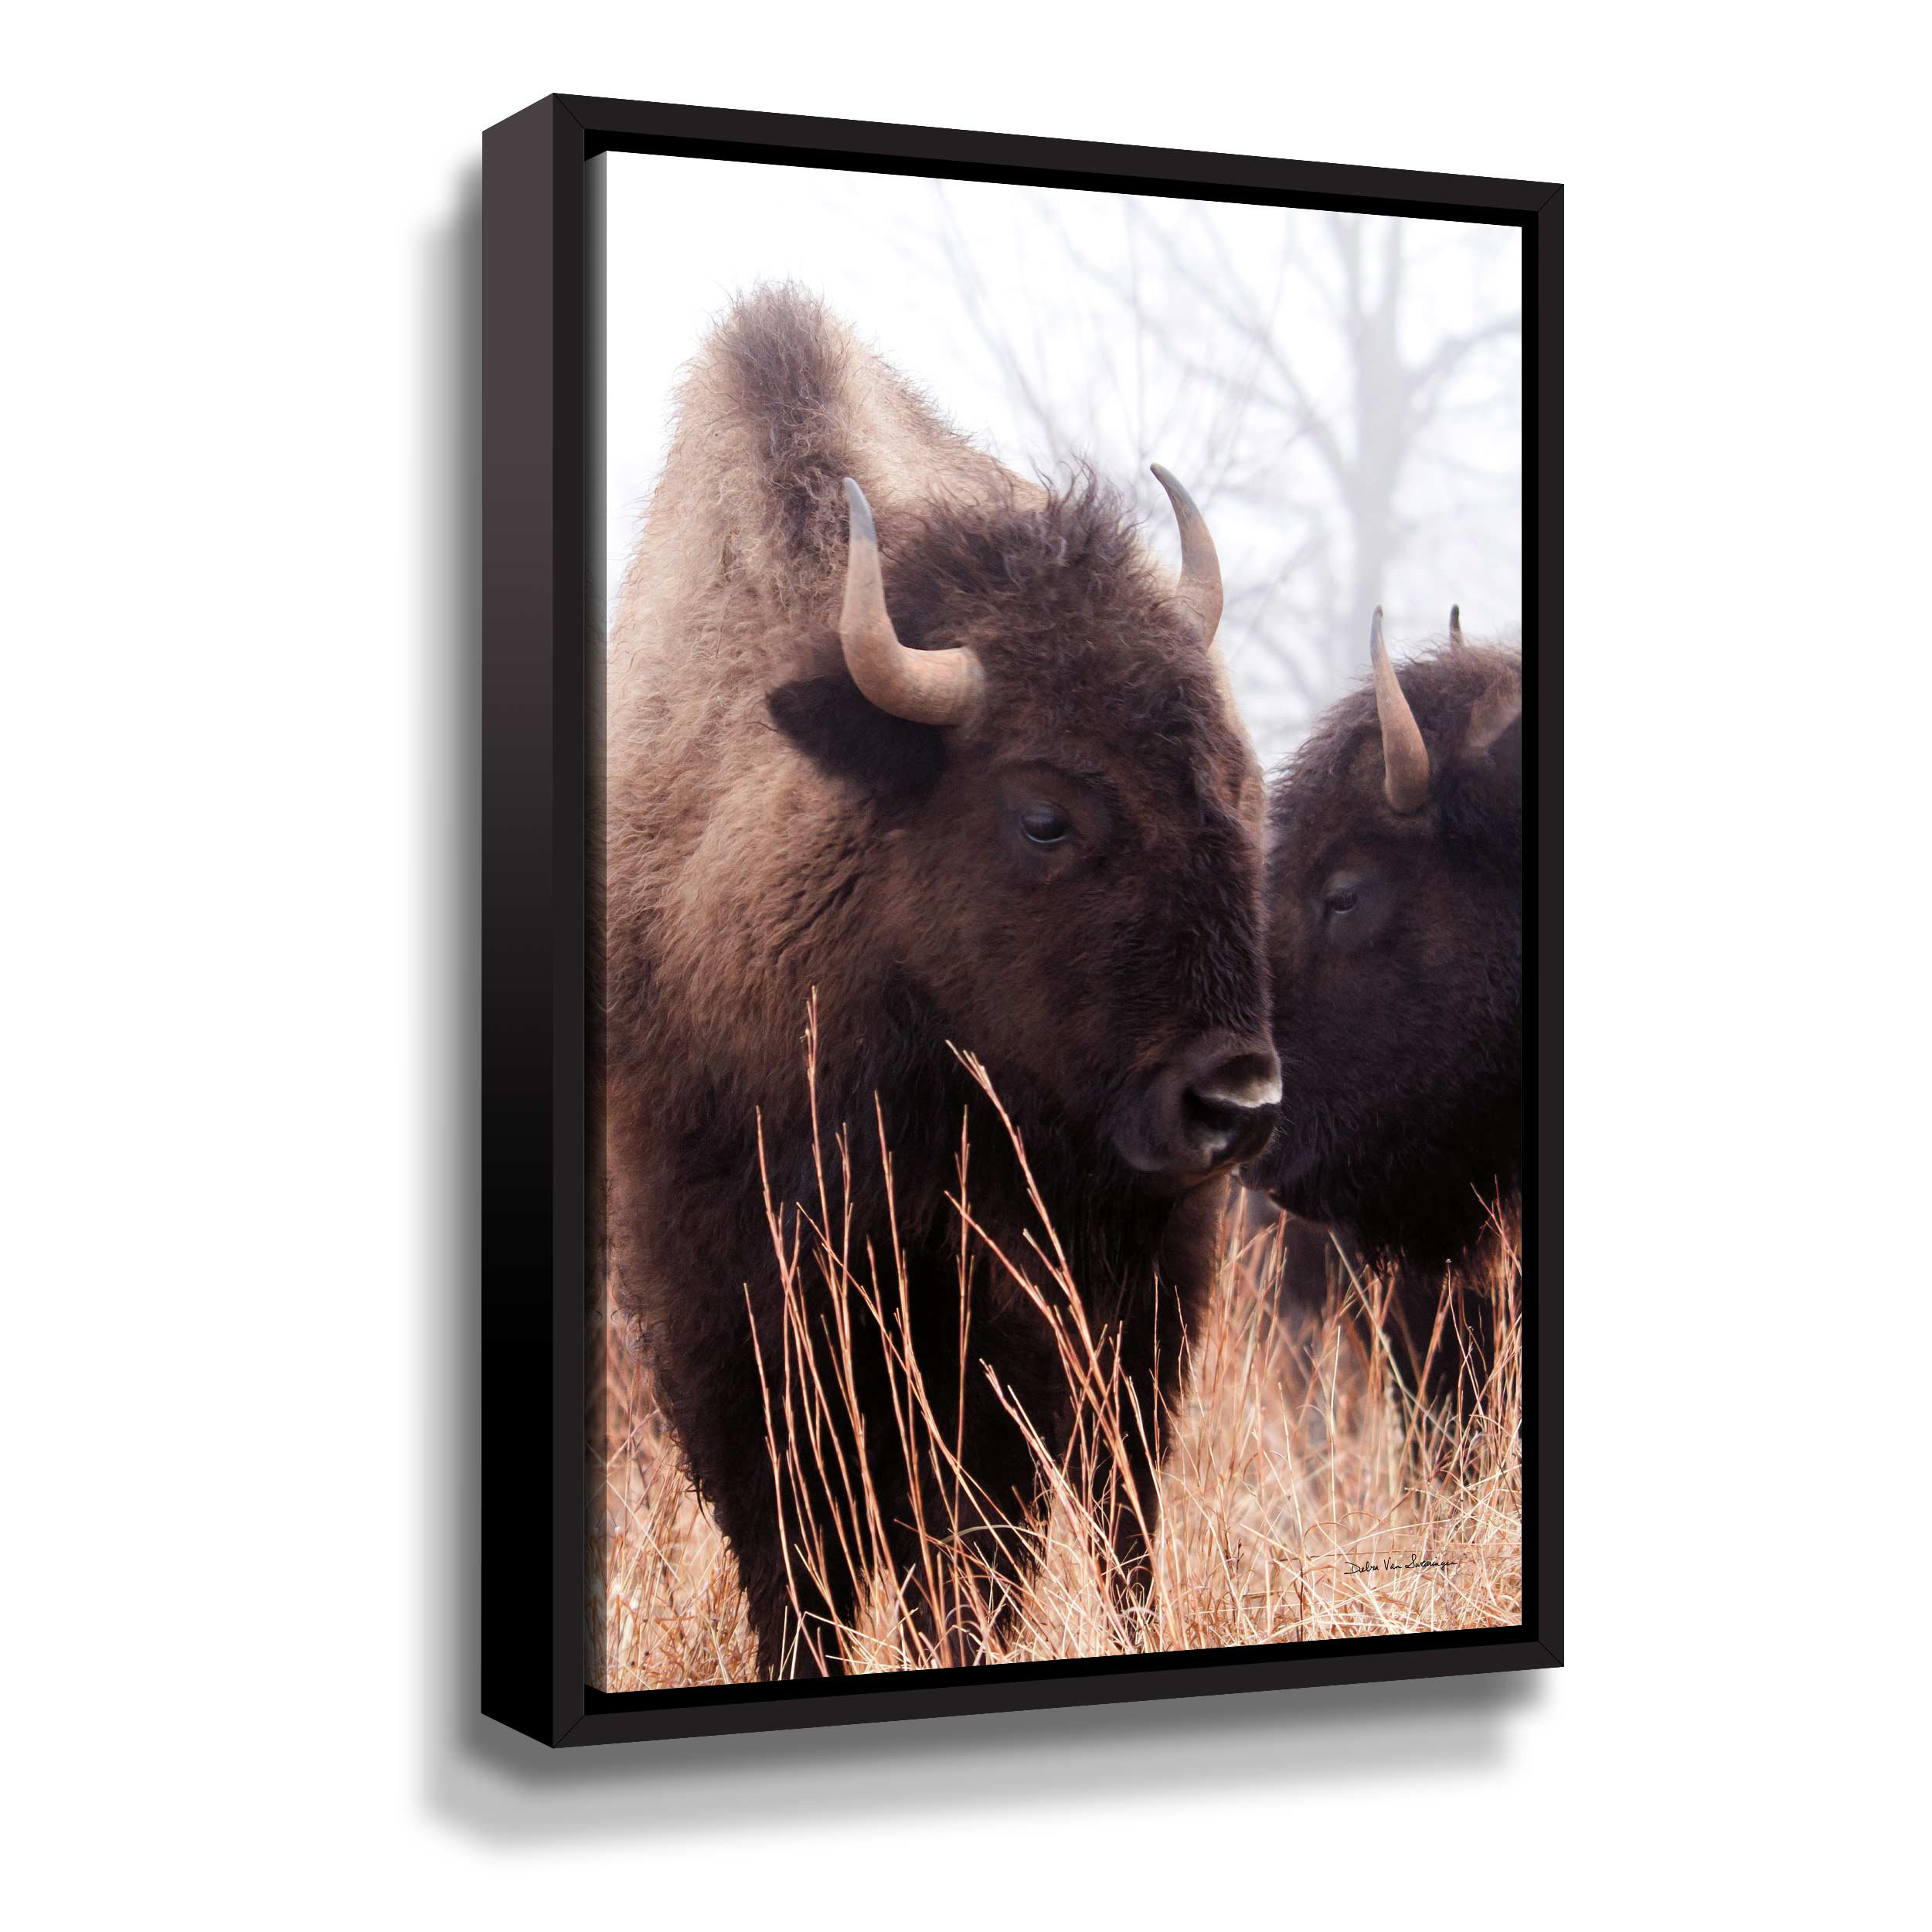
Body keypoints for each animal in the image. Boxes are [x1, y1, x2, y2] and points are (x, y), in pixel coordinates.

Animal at [603, 288, 1279, 1676]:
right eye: (1044, 815)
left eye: (1238, 786)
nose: (1235, 1101)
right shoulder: (718, 1313)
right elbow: (792, 1559)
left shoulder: (1008, 1332)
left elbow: (972, 1553)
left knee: (1119, 1520)